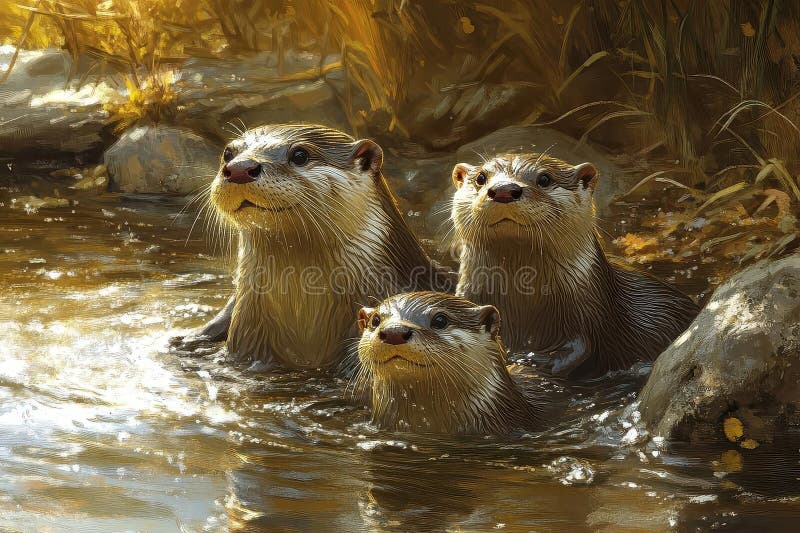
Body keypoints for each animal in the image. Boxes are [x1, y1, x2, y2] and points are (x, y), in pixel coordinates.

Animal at [450, 153, 700, 378]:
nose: (503, 190)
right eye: (481, 178)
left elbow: (579, 350)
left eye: (544, 178)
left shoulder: (590, 314)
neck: (523, 302)